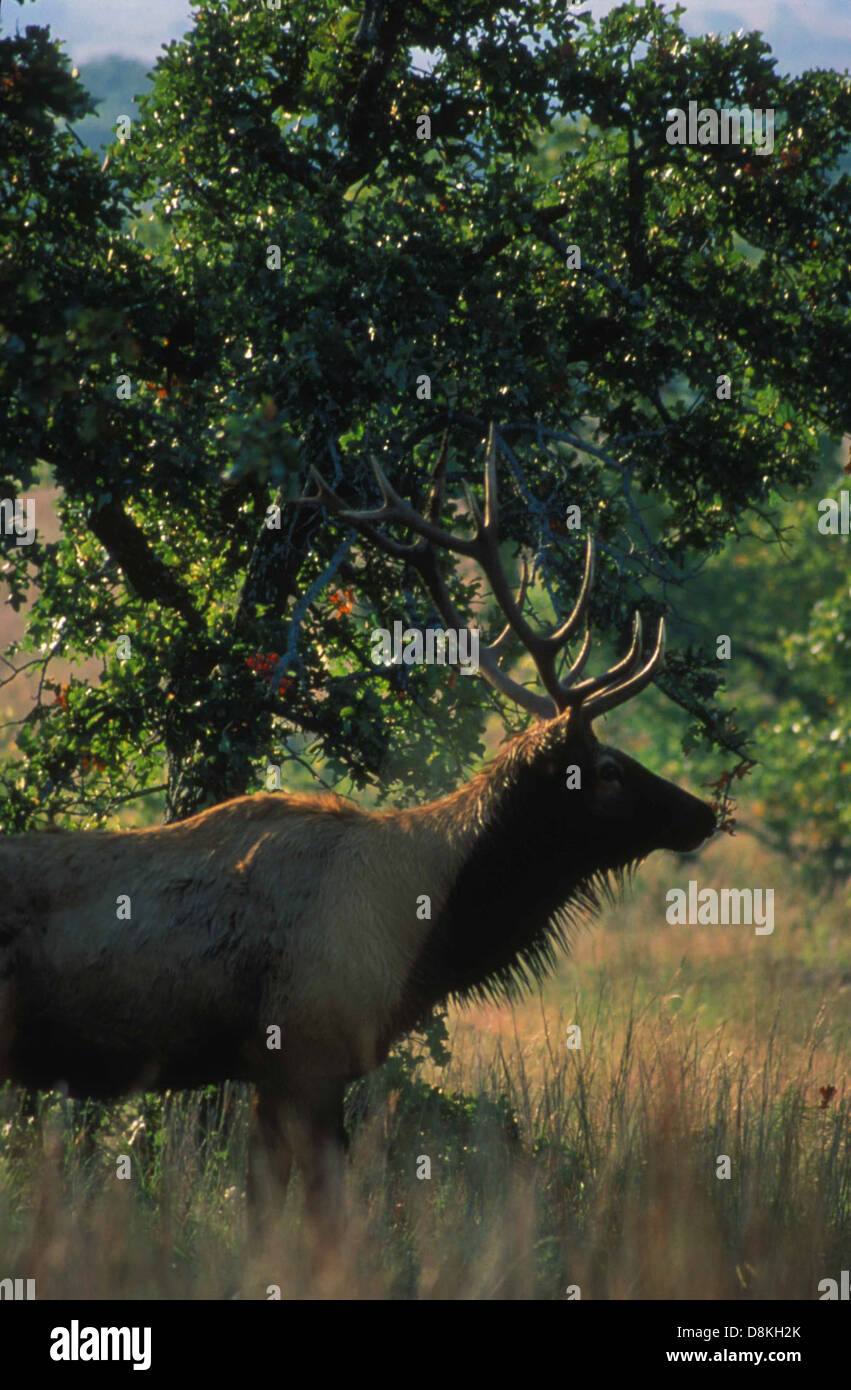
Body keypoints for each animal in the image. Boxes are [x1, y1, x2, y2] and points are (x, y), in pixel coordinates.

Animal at [0, 426, 716, 1215]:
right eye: (610, 769)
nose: (704, 811)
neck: (418, 934)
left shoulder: (276, 1071)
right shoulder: (308, 1049)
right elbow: (326, 1211)